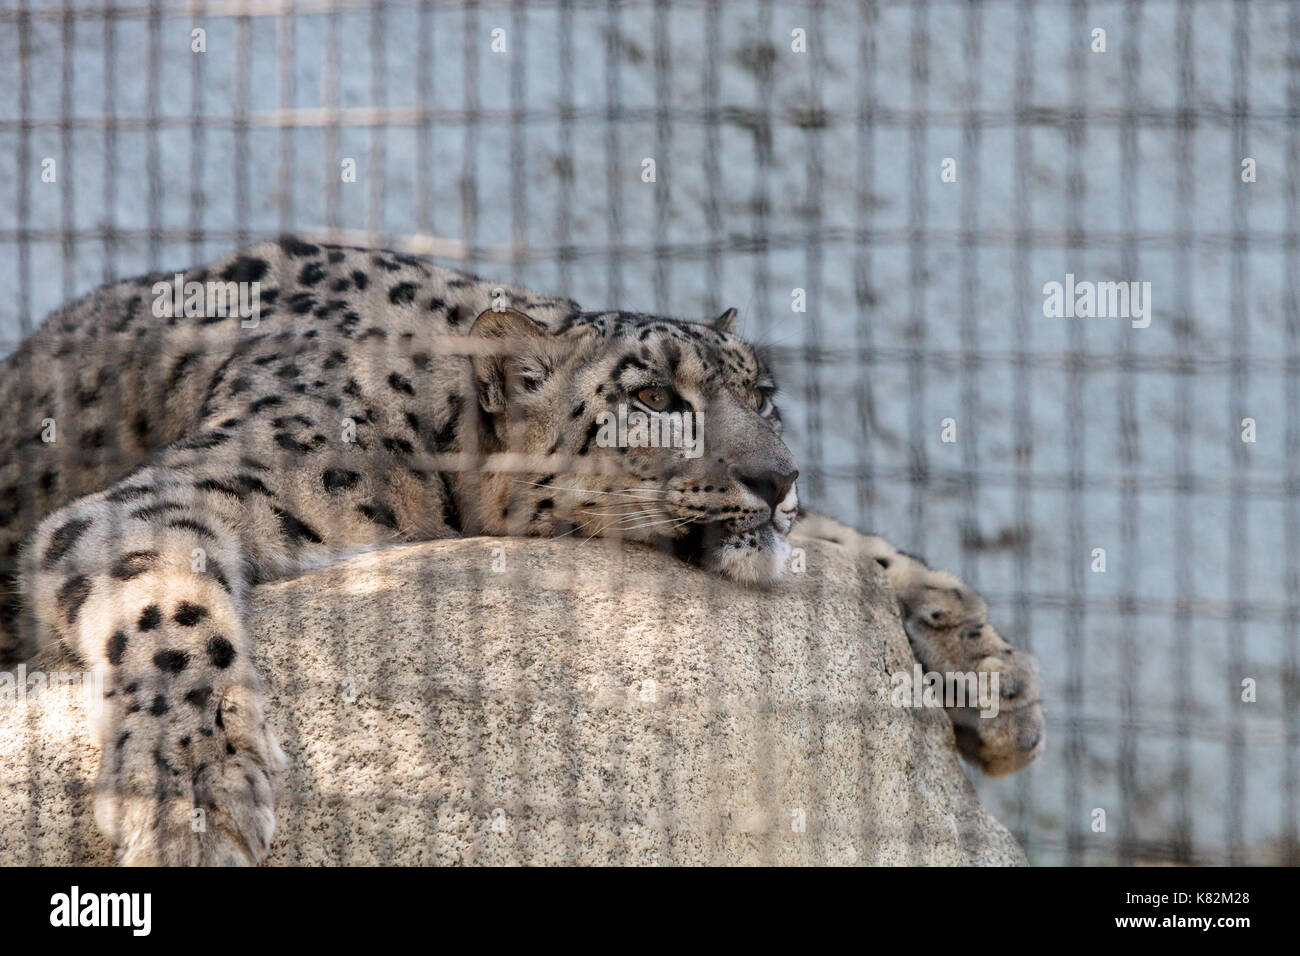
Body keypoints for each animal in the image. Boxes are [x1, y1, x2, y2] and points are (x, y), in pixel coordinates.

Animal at [0, 236, 1044, 865]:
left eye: (765, 397)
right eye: (655, 398)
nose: (779, 479)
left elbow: (853, 545)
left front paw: (995, 679)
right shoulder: (179, 495)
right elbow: (171, 607)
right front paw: (195, 793)